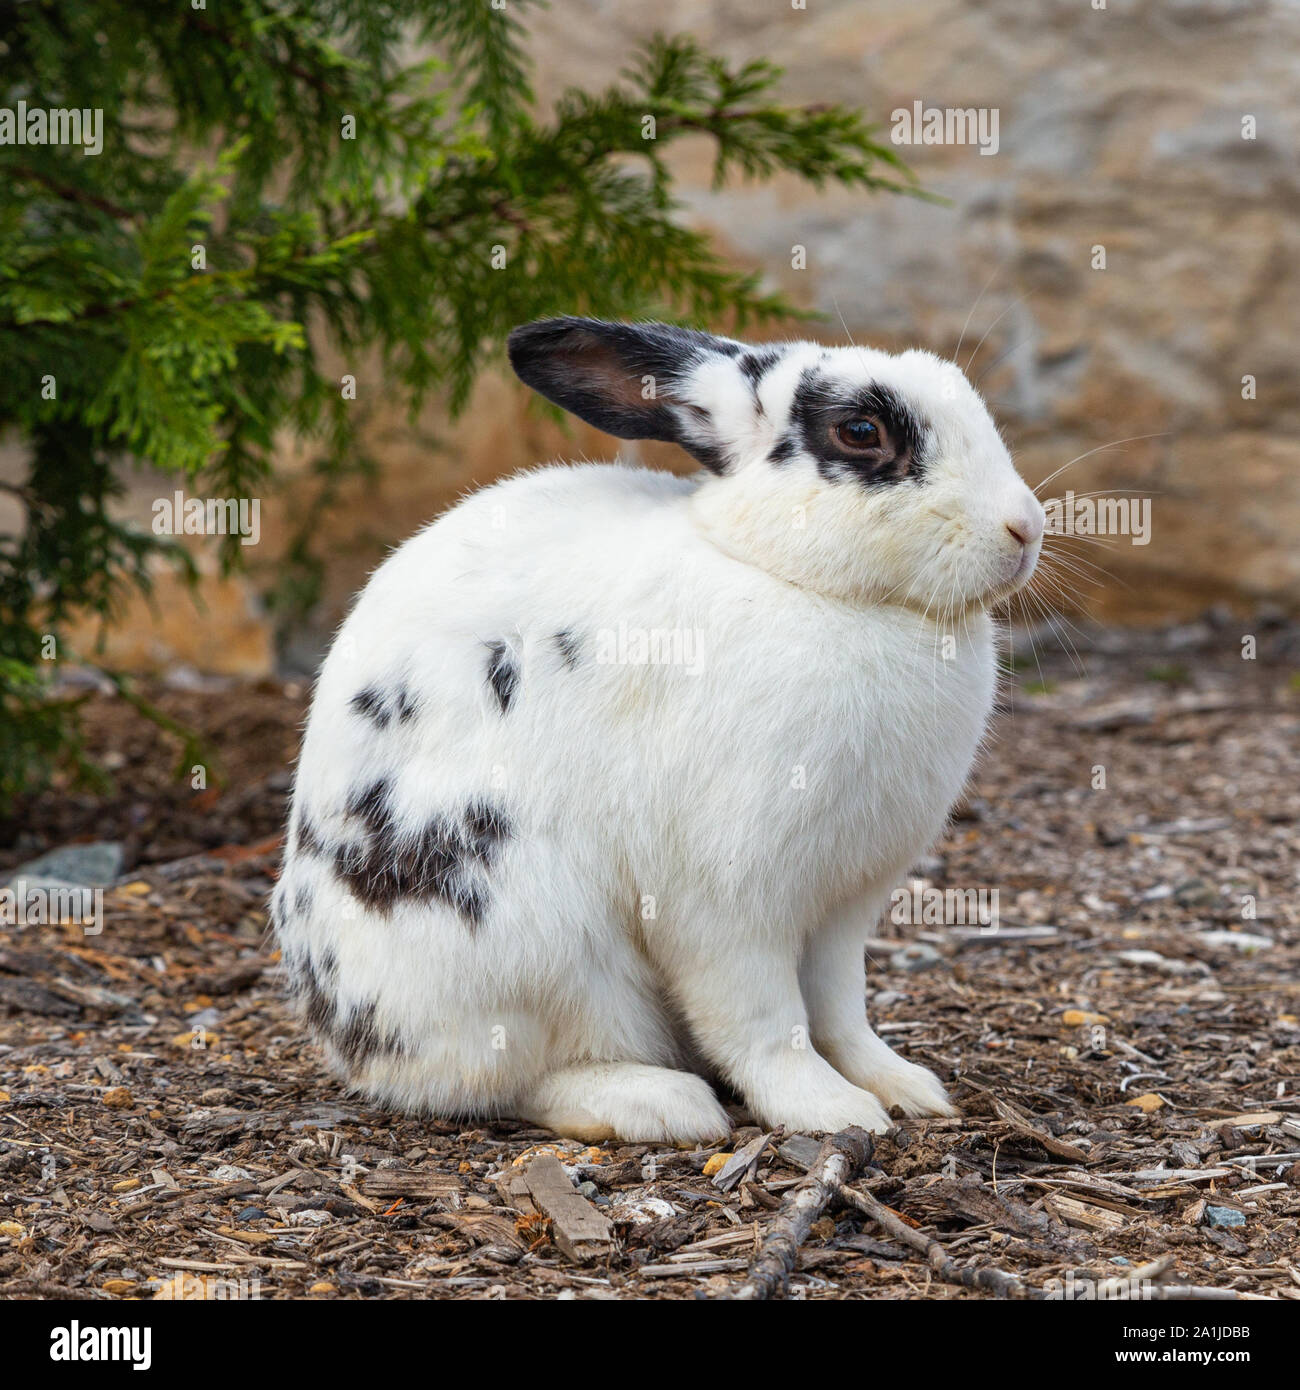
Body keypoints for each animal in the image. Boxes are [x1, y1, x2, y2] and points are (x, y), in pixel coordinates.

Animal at [271, 316, 1045, 1144]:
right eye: (861, 431)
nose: (1025, 528)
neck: (788, 575)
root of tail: (342, 1034)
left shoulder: (845, 905)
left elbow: (840, 1011)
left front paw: (904, 1088)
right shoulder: (725, 900)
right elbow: (763, 1021)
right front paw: (830, 1111)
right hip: (533, 942)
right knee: (511, 1080)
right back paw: (663, 1104)